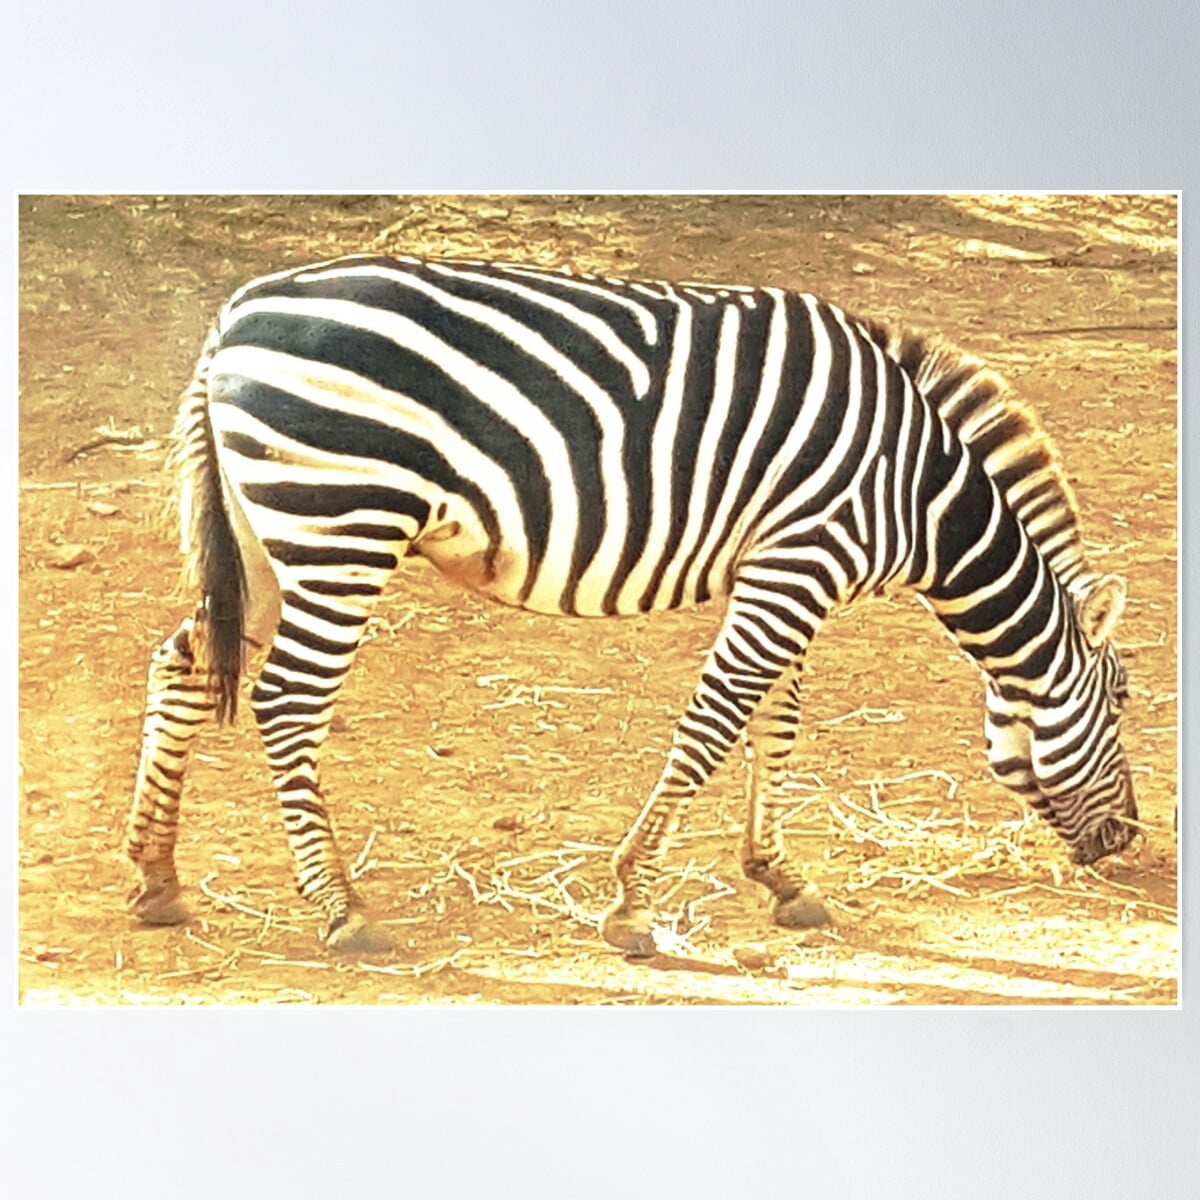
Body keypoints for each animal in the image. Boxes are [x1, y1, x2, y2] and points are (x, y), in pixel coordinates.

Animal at [124, 253, 1137, 957]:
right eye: (1124, 702)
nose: (1128, 840)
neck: (920, 492)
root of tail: (237, 314)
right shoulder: (800, 563)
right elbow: (714, 725)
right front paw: (630, 904)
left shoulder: (785, 571)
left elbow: (775, 725)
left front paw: (779, 878)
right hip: (342, 523)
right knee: (288, 703)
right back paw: (341, 910)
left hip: (268, 534)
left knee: (182, 664)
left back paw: (158, 878)